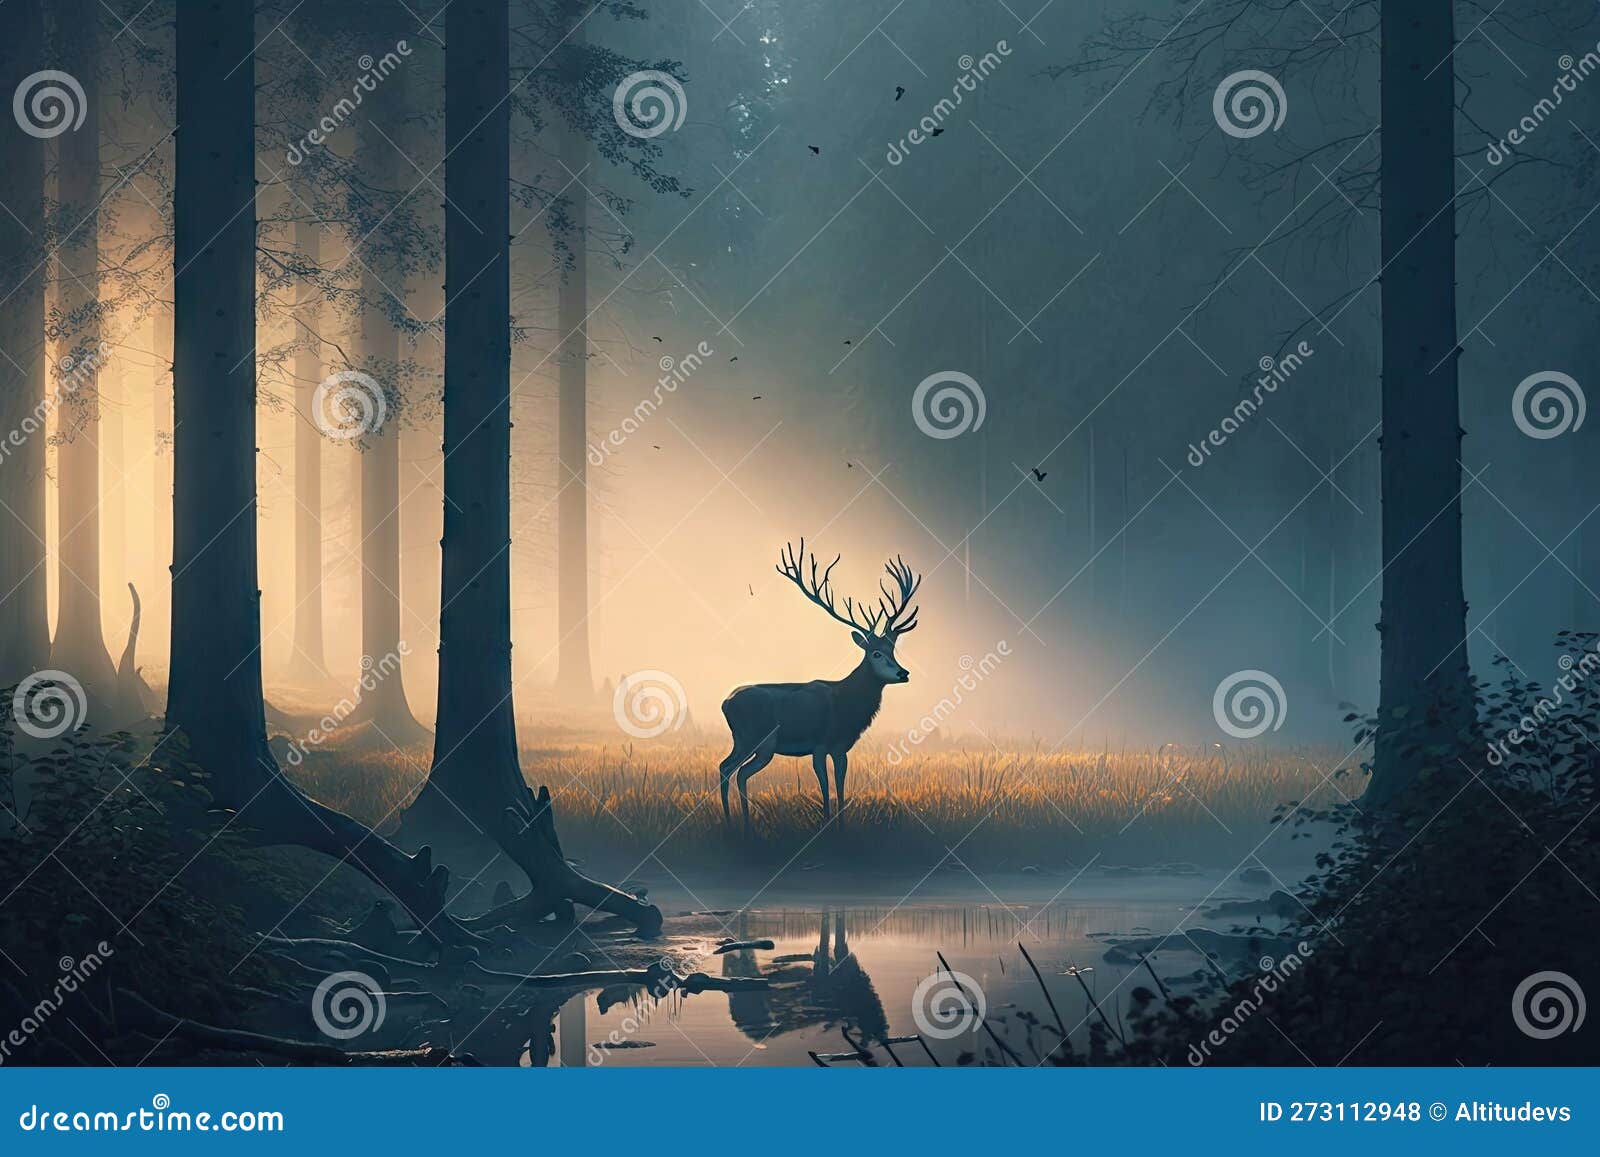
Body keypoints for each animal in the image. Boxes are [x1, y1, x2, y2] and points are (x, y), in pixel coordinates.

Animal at [719, 540, 921, 830]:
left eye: (892, 650)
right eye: (875, 653)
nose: (903, 672)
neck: (846, 704)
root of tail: (725, 703)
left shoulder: (841, 748)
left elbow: (840, 787)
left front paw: (841, 827)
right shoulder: (820, 744)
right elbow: (825, 787)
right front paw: (825, 824)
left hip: (744, 740)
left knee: (728, 769)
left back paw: (737, 823)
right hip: (758, 740)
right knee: (734, 770)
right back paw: (740, 824)